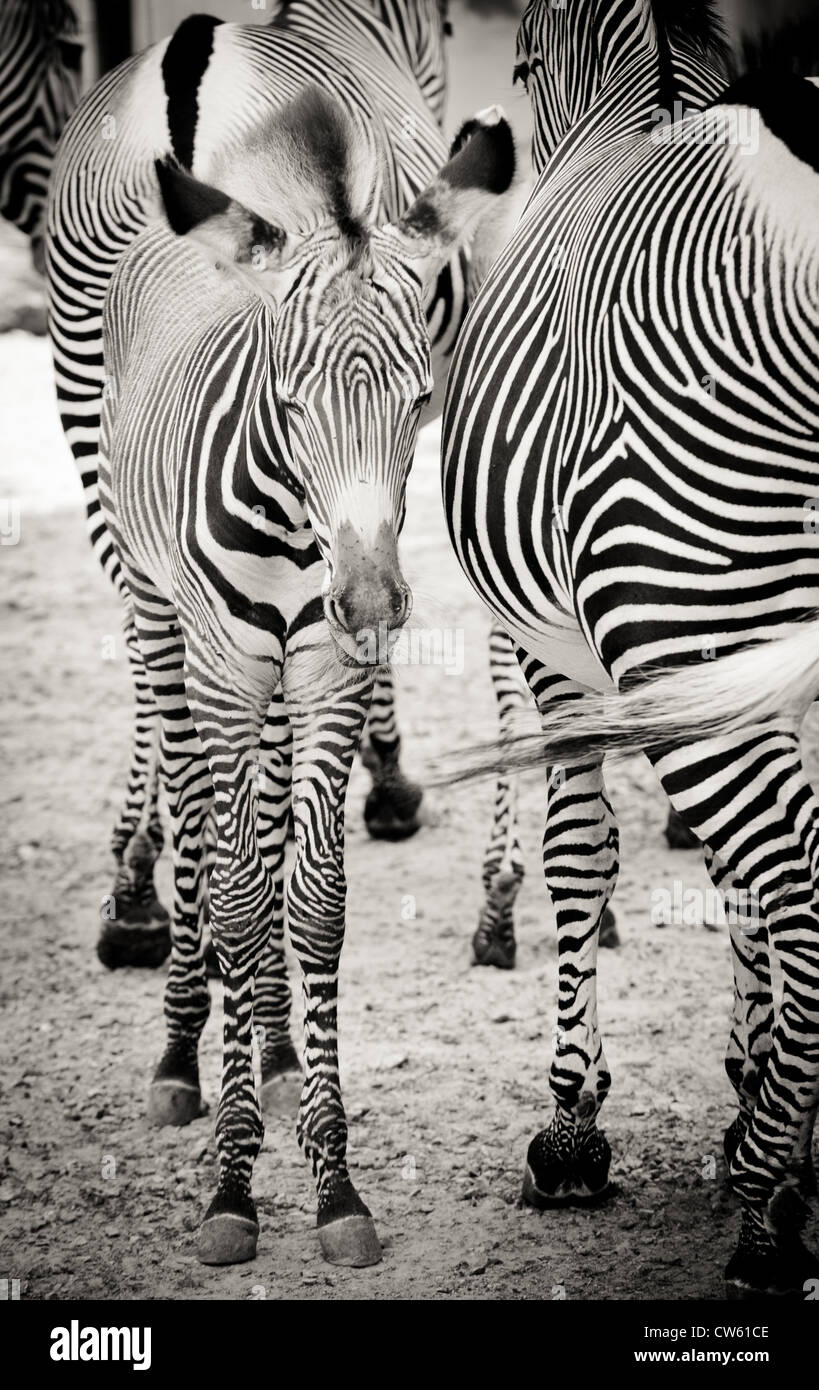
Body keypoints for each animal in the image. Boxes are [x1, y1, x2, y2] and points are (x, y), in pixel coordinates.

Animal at [98, 83, 514, 1267]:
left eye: (420, 402)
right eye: (290, 401)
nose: (368, 600)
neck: (297, 530)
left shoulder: (328, 671)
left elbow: (313, 898)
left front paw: (333, 1180)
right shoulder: (230, 667)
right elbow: (240, 893)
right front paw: (231, 1184)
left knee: (266, 824)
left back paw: (275, 1053)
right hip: (163, 627)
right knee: (195, 824)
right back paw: (183, 1052)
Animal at [442, 0, 819, 1295]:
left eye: (517, 64)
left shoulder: (562, 660)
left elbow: (580, 853)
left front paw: (571, 1126)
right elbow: (727, 892)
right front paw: (748, 1071)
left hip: (678, 615)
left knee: (799, 876)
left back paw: (771, 1206)